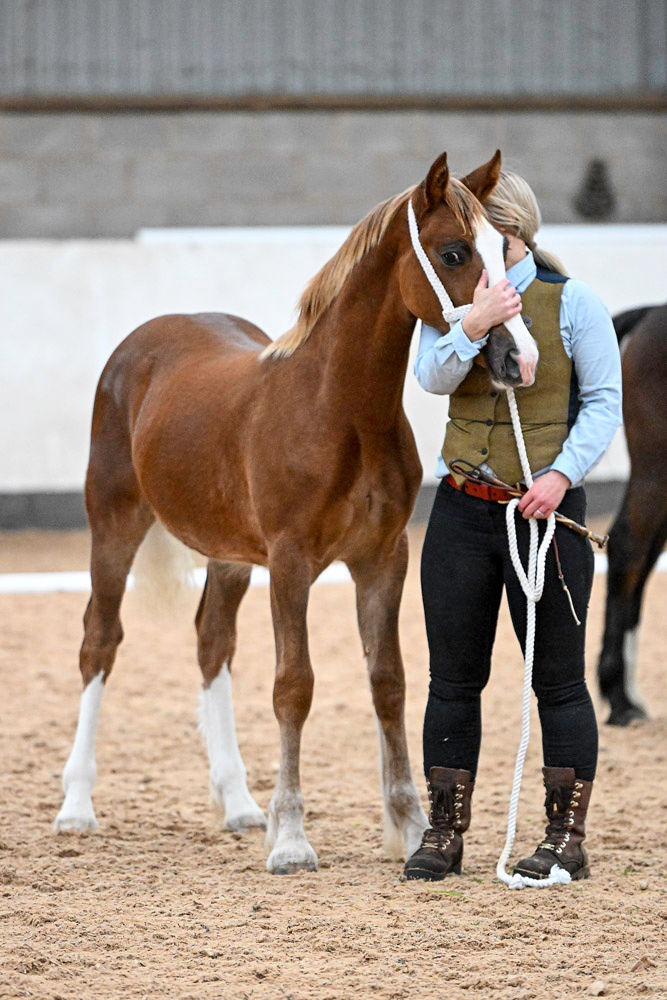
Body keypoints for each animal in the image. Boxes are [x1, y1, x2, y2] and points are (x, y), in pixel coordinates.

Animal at [54, 150, 539, 873]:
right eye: (454, 252)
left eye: (502, 252)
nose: (518, 358)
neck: (338, 408)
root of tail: (141, 344)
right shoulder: (290, 563)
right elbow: (293, 686)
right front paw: (290, 839)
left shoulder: (381, 559)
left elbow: (388, 681)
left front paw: (407, 825)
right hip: (114, 526)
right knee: (99, 641)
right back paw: (77, 807)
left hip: (227, 556)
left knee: (212, 644)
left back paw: (237, 805)